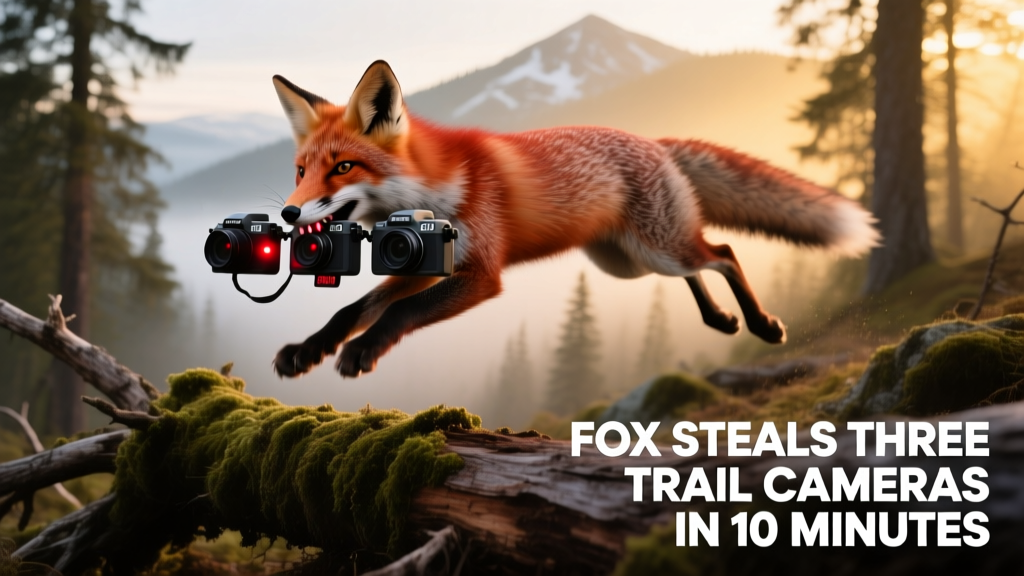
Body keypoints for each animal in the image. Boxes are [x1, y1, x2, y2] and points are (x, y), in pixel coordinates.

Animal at [270, 60, 880, 379]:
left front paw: (360, 352)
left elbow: (399, 314)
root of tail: (655, 142)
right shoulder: (422, 263)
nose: (288, 211)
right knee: (695, 270)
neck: (435, 191)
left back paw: (760, 324)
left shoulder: (482, 276)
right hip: (628, 263)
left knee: (723, 254)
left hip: (656, 248)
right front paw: (310, 348)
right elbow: (354, 308)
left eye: (343, 167)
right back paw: (722, 320)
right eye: (300, 170)